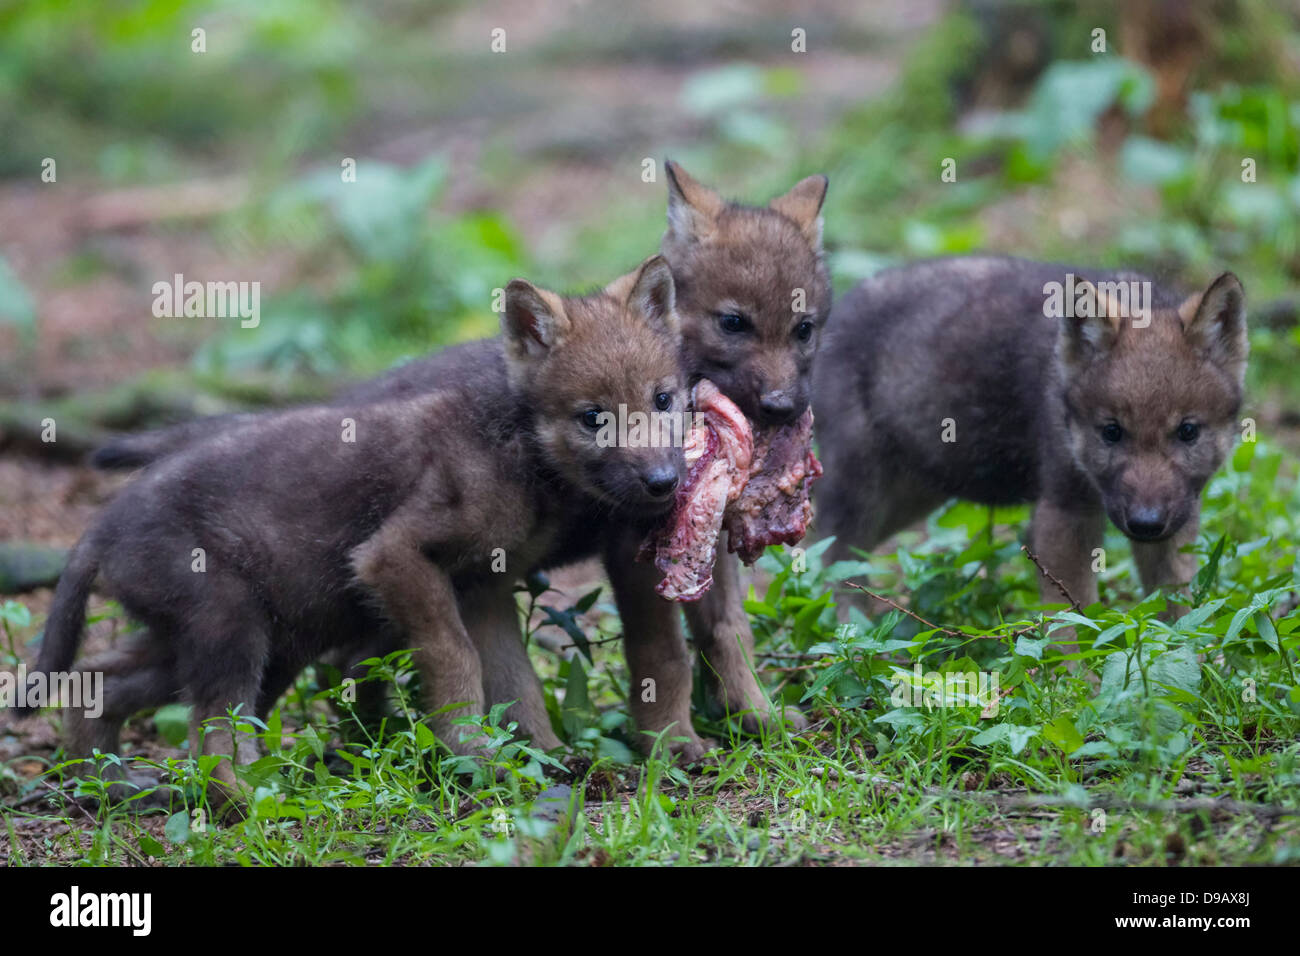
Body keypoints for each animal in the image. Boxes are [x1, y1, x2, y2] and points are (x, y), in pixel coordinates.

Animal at [19, 257, 688, 801]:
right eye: (592, 417)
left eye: (664, 399)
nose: (664, 483)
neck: (522, 452)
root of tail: (99, 526)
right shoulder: (394, 556)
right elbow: (458, 663)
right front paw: (473, 760)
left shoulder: (486, 588)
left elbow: (516, 685)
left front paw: (549, 760)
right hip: (230, 630)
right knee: (210, 733)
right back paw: (240, 803)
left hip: (224, 640)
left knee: (94, 679)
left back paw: (109, 785)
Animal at [90, 163, 832, 757]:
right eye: (733, 323)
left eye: (804, 329)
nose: (781, 406)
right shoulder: (630, 552)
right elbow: (663, 655)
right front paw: (673, 744)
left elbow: (729, 635)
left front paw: (759, 719)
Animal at [814, 256, 1247, 619]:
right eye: (1112, 432)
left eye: (1188, 432)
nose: (1145, 524)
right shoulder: (1061, 512)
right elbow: (1071, 622)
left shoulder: (1178, 520)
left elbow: (1179, 611)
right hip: (861, 485)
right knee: (832, 557)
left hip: (915, 488)